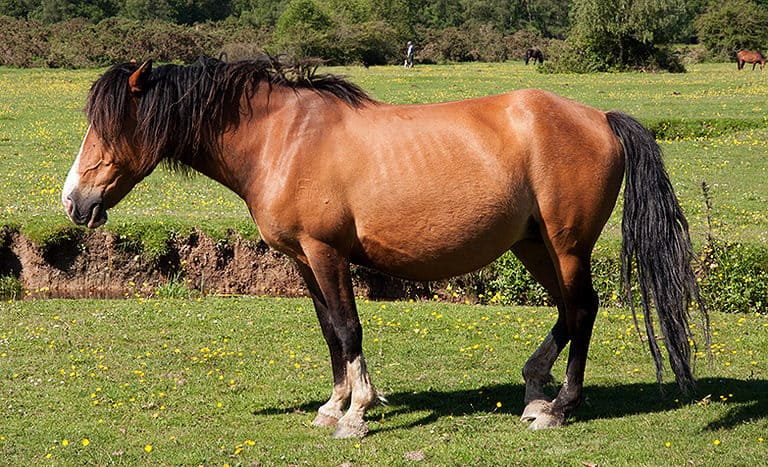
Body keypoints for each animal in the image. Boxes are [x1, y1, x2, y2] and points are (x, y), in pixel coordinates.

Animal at [62, 56, 708, 438]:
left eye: (111, 127)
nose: (73, 202)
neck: (280, 140)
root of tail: (599, 116)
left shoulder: (327, 253)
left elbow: (349, 329)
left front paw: (356, 414)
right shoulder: (304, 260)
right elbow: (330, 332)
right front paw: (334, 405)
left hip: (568, 246)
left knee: (581, 309)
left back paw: (558, 407)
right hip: (533, 246)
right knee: (569, 312)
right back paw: (533, 388)